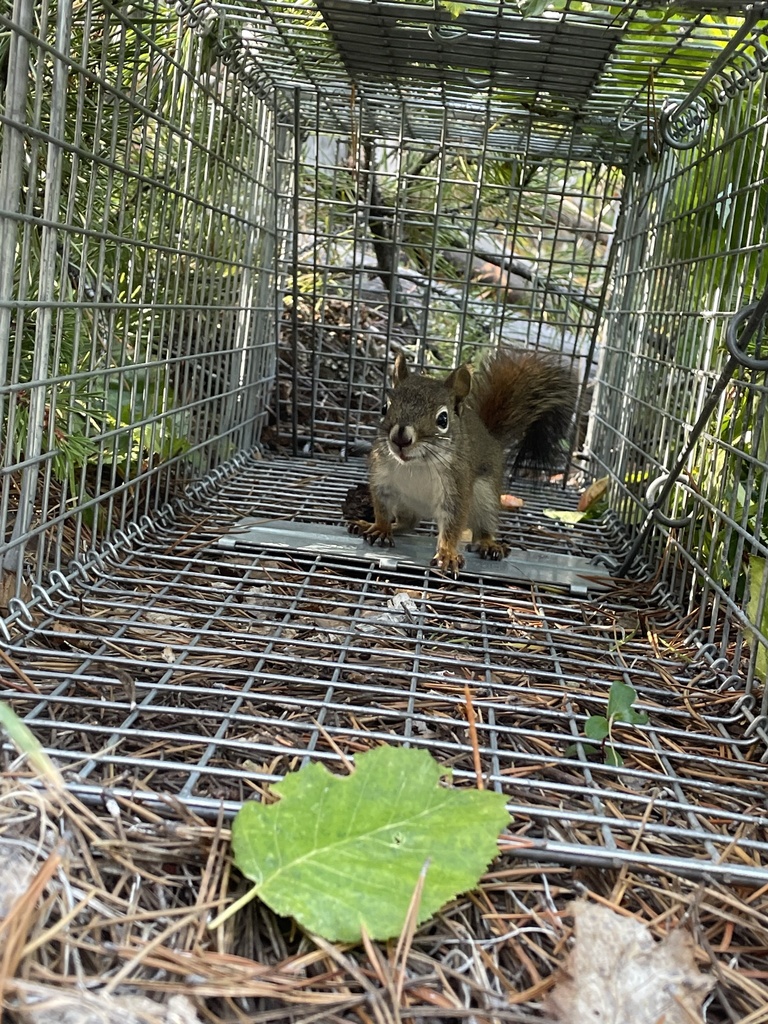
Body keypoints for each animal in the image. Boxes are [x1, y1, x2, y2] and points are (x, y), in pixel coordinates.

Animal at [349, 348, 579, 575]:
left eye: (443, 419)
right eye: (384, 408)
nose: (401, 439)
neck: (416, 465)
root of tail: (490, 438)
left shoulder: (457, 486)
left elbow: (453, 523)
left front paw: (447, 553)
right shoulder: (382, 479)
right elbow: (382, 509)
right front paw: (381, 528)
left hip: (485, 496)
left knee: (483, 527)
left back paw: (488, 544)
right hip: (406, 503)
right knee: (408, 523)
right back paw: (382, 526)